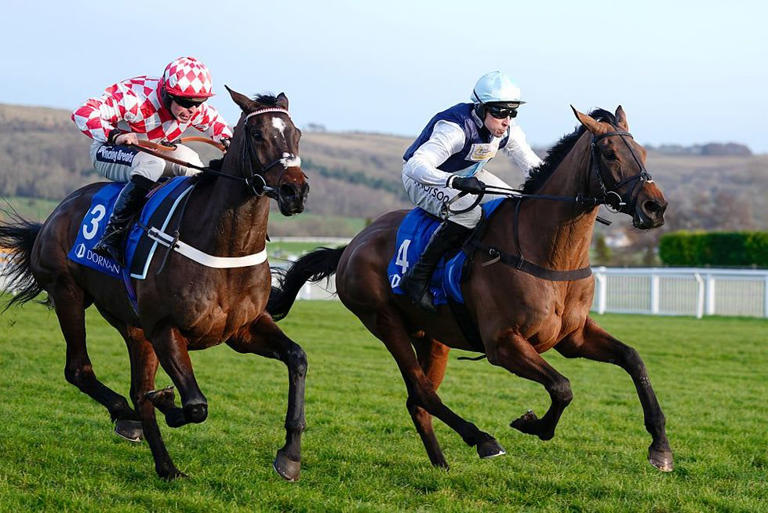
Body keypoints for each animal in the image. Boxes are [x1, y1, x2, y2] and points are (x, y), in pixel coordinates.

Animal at [0, 88, 310, 481]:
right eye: (257, 135)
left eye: (296, 134)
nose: (294, 191)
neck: (225, 247)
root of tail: (52, 216)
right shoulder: (165, 329)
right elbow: (195, 405)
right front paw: (167, 401)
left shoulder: (242, 329)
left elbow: (297, 358)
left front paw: (290, 456)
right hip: (68, 294)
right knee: (80, 371)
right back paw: (129, 419)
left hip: (131, 325)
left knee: (136, 389)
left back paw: (165, 465)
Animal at [266, 106, 674, 473]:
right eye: (610, 153)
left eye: (642, 152)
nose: (655, 206)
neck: (546, 253)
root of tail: (352, 244)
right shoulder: (503, 344)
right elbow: (562, 386)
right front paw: (532, 424)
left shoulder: (572, 337)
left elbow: (633, 359)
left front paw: (661, 448)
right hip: (384, 322)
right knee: (421, 391)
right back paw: (482, 440)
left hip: (432, 338)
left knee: (417, 400)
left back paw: (441, 464)